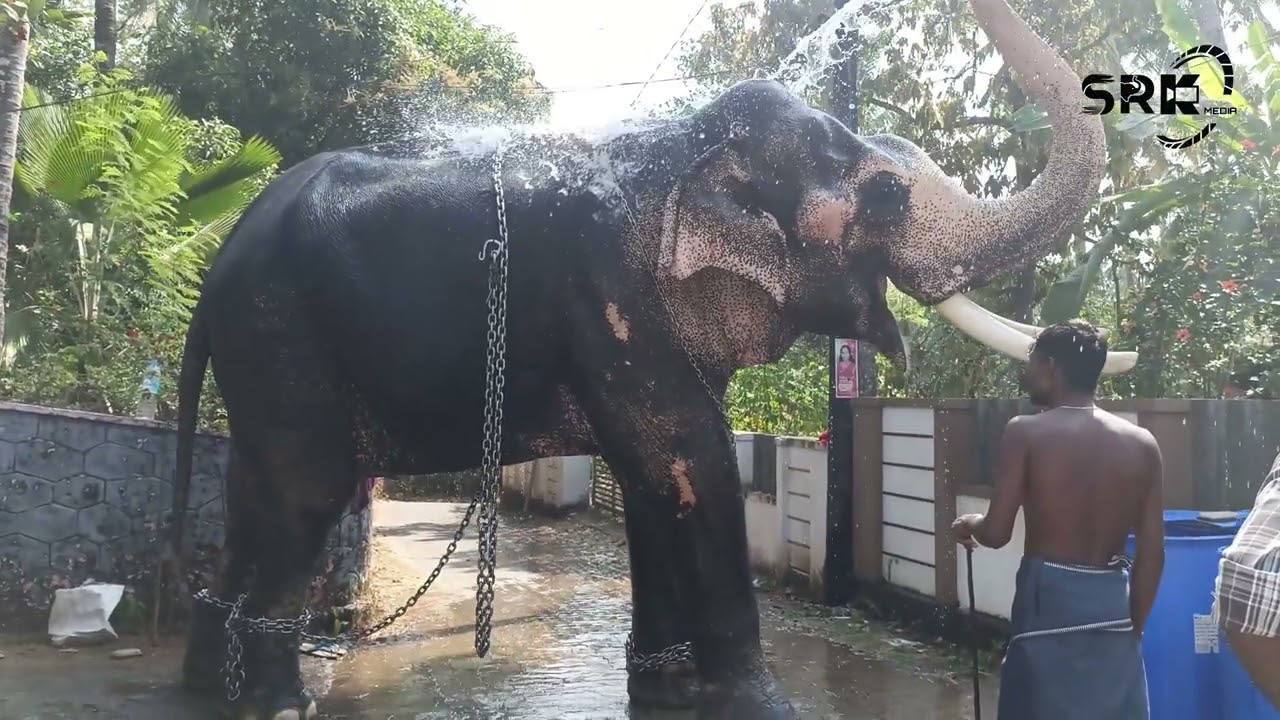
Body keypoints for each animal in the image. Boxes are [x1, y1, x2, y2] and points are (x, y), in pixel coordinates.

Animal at [166, 0, 1133, 717]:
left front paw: (667, 687)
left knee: (255, 495)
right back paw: (277, 704)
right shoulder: (611, 294)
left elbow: (653, 476)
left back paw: (209, 687)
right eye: (891, 193)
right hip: (283, 336)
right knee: (306, 496)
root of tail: (219, 262)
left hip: (265, 359)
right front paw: (761, 706)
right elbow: (694, 460)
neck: (683, 149)